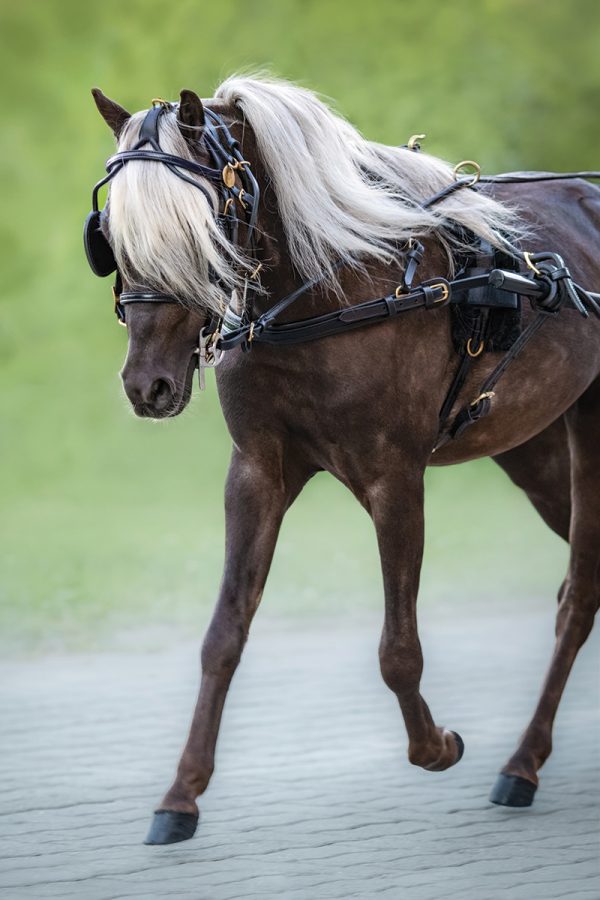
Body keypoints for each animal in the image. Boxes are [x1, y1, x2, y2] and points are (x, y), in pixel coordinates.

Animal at [86, 76, 600, 845]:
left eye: (195, 230)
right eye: (113, 235)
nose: (147, 384)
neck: (333, 291)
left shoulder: (394, 478)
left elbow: (398, 651)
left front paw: (435, 746)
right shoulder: (257, 472)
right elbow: (224, 636)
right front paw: (180, 796)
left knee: (581, 594)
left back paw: (522, 762)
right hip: (534, 450)